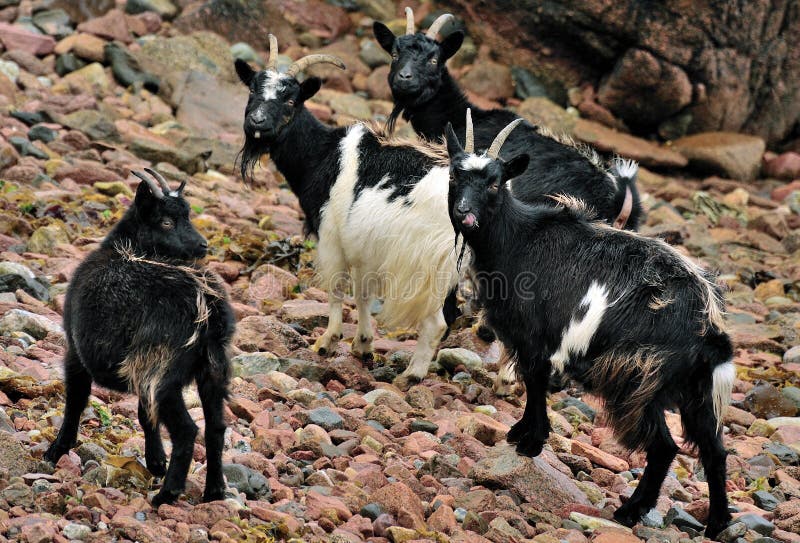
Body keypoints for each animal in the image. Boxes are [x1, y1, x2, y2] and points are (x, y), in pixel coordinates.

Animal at [44, 169, 234, 507]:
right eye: (167, 221)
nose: (203, 245)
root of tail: (208, 308)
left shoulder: (75, 352)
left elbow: (76, 399)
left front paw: (56, 450)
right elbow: (146, 415)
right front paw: (156, 460)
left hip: (162, 371)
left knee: (187, 430)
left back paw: (166, 495)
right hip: (212, 370)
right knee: (216, 427)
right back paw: (213, 492)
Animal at [235, 37, 465, 387]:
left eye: (291, 99)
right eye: (252, 90)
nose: (257, 123)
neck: (323, 154)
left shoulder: (331, 236)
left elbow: (336, 290)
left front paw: (326, 342)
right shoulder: (362, 246)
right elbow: (362, 294)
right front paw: (363, 345)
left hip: (428, 266)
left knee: (437, 322)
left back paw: (411, 375)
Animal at [444, 114, 735, 540]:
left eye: (496, 181)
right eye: (454, 174)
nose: (465, 213)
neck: (518, 238)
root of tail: (707, 330)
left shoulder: (535, 336)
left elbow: (534, 382)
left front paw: (530, 442)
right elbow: (531, 382)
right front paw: (520, 434)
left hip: (638, 380)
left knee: (664, 447)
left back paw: (630, 512)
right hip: (696, 391)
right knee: (714, 451)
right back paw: (715, 523)